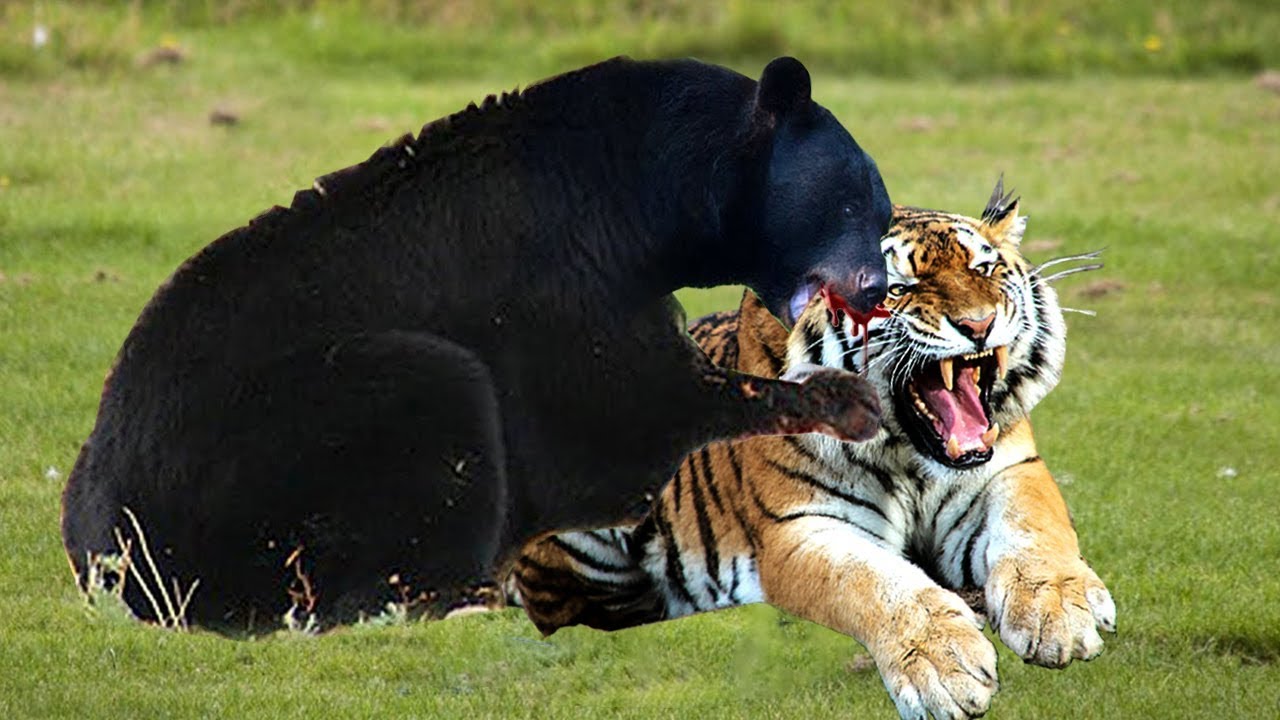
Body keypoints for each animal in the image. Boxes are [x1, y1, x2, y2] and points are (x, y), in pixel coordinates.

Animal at [61, 56, 892, 630]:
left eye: (880, 211)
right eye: (853, 202)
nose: (876, 288)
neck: (642, 192)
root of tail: (115, 552)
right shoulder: (558, 276)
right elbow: (621, 411)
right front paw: (842, 400)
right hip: (282, 444)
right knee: (430, 403)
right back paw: (476, 587)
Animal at [507, 180, 1116, 720]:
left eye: (983, 270)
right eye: (895, 290)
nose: (980, 324)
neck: (908, 456)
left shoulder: (1006, 471)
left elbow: (1034, 528)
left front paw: (1060, 613)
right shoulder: (800, 527)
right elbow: (873, 584)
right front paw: (943, 668)